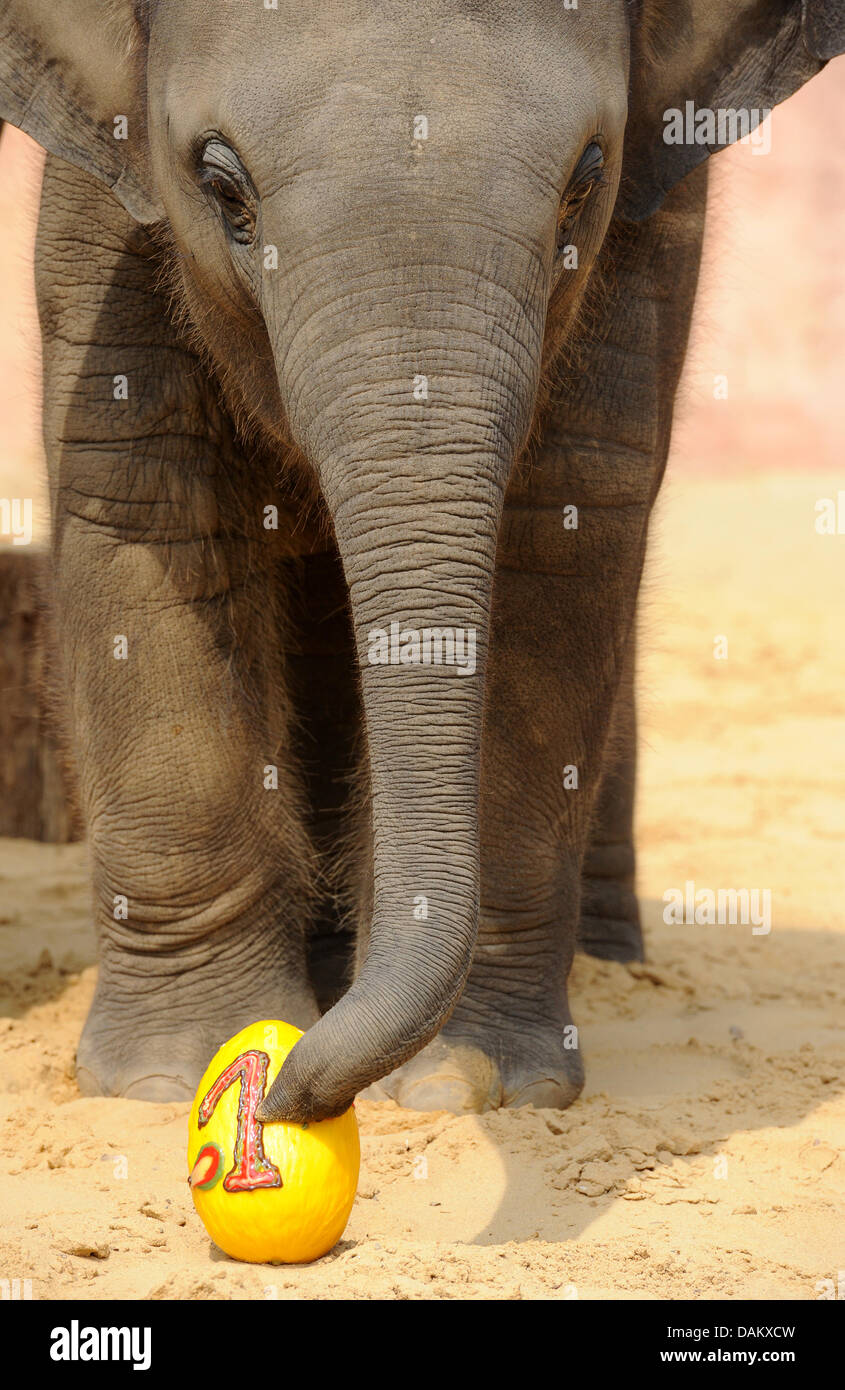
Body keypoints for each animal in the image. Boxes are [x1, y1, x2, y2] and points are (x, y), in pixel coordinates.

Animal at [0, 0, 840, 1125]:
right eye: (221, 187)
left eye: (584, 178)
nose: (283, 1099)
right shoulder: (100, 216)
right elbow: (143, 499)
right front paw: (176, 1074)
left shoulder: (652, 230)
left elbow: (565, 514)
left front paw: (467, 1085)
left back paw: (602, 965)